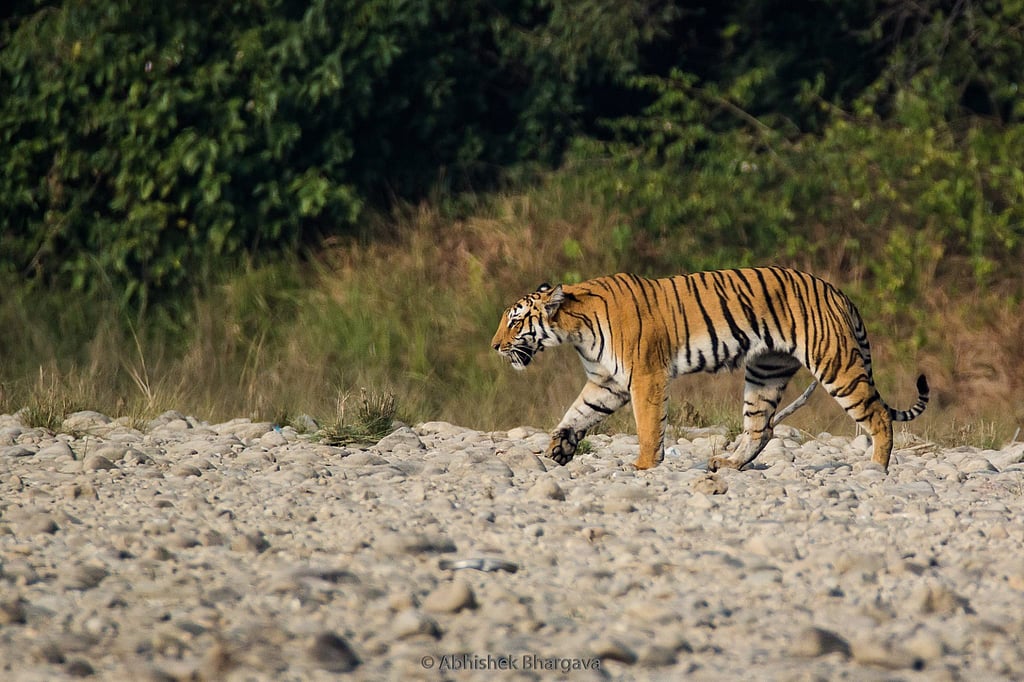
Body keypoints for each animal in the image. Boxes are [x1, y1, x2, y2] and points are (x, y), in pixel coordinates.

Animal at [491, 267, 929, 472]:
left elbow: (648, 425)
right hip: (765, 372)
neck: (574, 327)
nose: (494, 346)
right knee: (761, 428)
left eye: (515, 321)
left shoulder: (645, 376)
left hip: (835, 363)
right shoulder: (607, 382)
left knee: (877, 415)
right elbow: (576, 413)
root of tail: (836, 290)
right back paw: (730, 465)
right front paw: (559, 447)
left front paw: (644, 465)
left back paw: (876, 467)